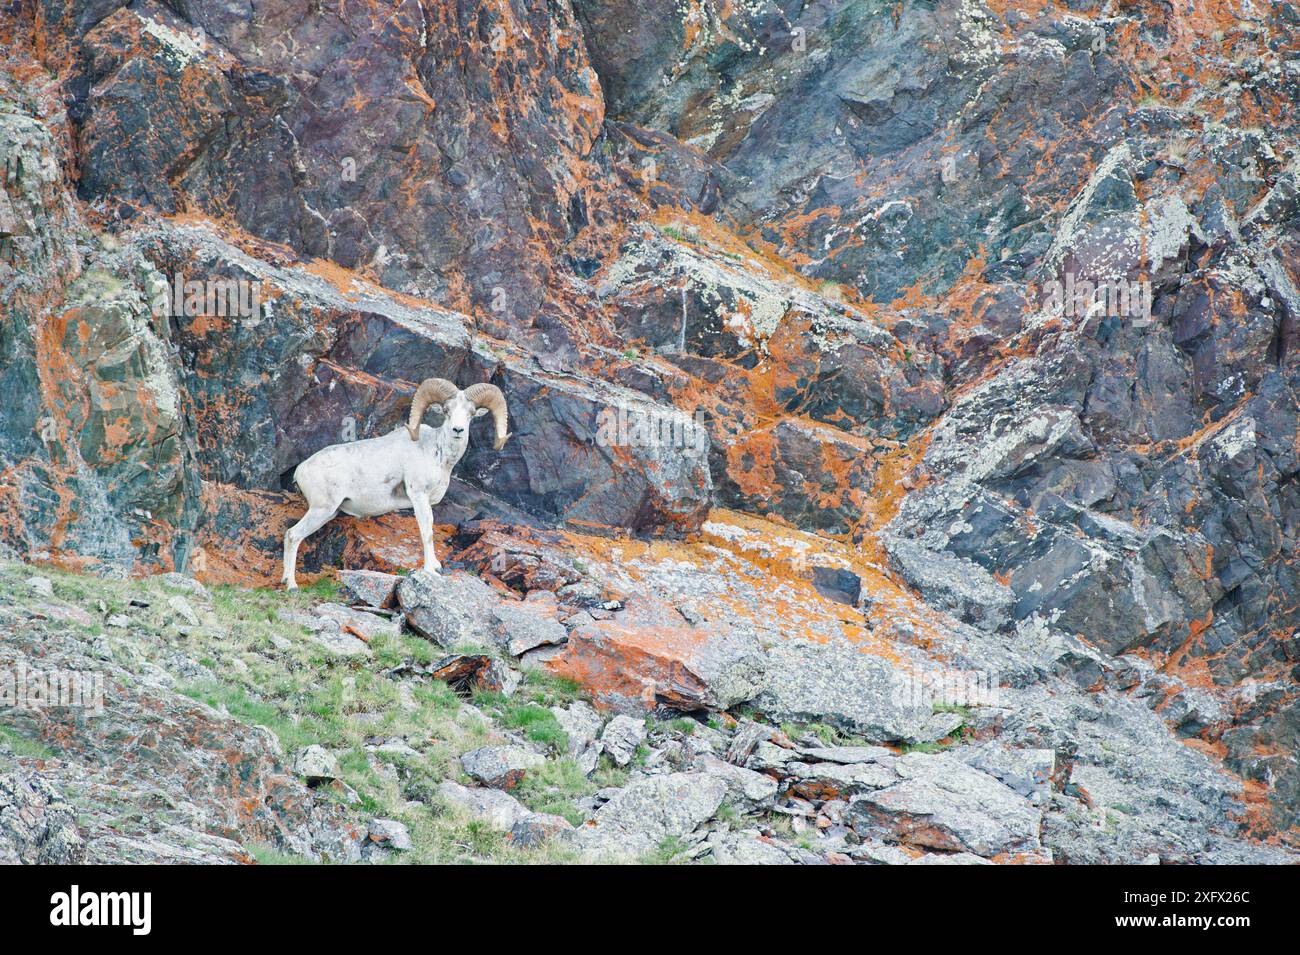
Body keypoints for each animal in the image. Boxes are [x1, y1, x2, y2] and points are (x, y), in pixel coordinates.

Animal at [281, 379, 510, 590]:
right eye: (446, 411)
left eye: (471, 413)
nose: (458, 429)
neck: (438, 453)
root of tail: (301, 470)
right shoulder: (419, 496)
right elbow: (427, 531)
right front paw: (431, 570)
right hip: (321, 509)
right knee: (292, 535)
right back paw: (291, 586)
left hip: (329, 512)